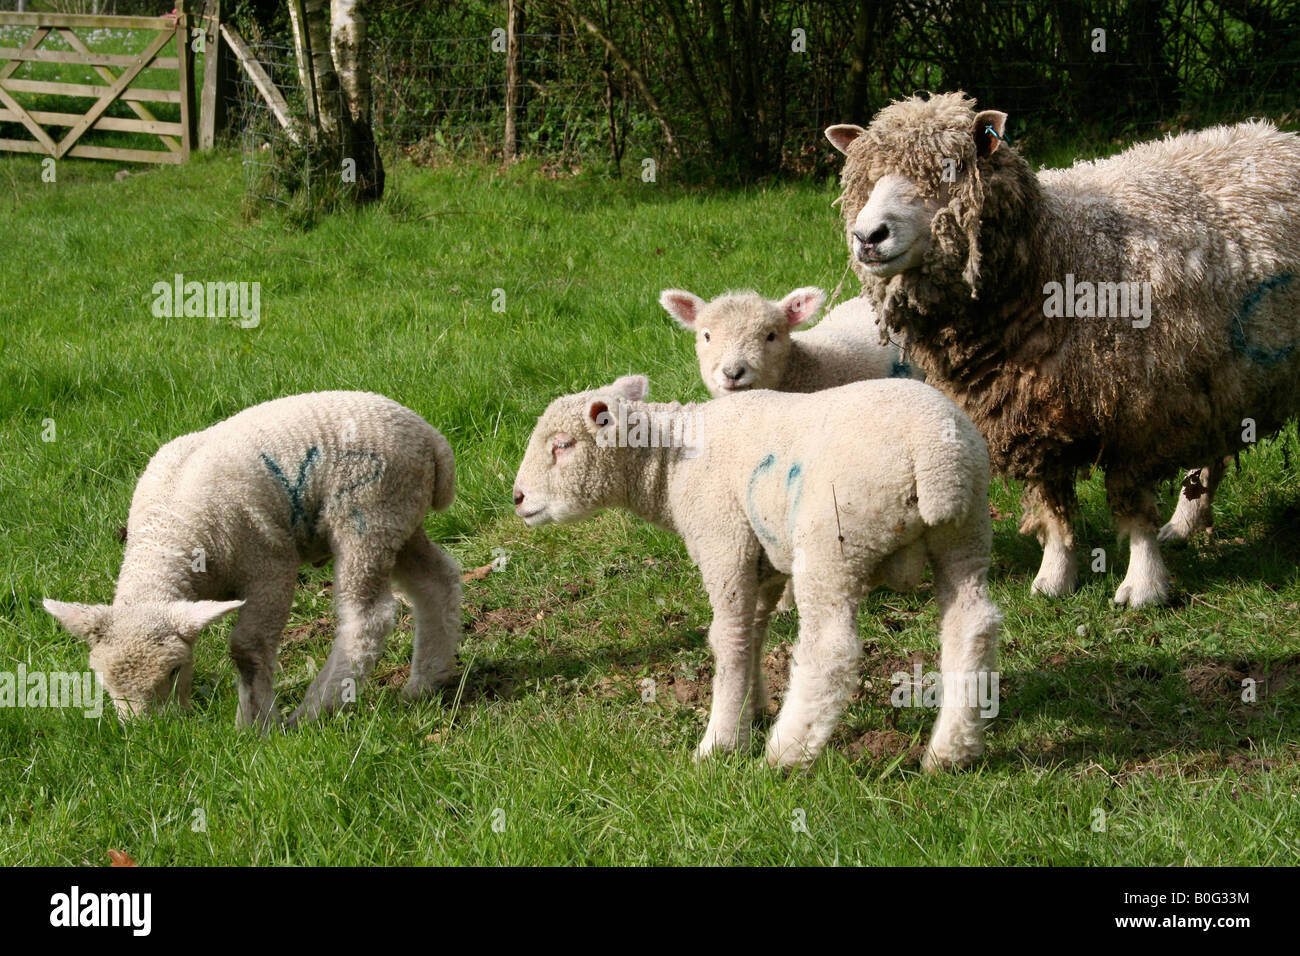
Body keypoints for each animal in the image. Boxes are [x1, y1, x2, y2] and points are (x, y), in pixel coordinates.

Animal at [43, 391, 462, 725]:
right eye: (101, 678)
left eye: (176, 670)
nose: (149, 731)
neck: (167, 534)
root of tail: (431, 438)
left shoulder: (269, 565)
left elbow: (247, 648)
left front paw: (255, 726)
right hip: (400, 518)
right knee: (436, 583)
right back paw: (427, 682)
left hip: (366, 514)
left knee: (368, 617)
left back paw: (314, 710)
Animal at [512, 374, 1001, 770]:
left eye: (562, 444)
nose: (517, 497)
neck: (669, 464)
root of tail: (936, 452)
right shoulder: (764, 559)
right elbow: (755, 633)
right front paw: (756, 706)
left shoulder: (723, 542)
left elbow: (729, 640)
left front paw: (721, 744)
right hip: (967, 532)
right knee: (971, 625)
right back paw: (951, 752)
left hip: (833, 543)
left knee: (830, 651)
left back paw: (786, 753)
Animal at [826, 92, 1300, 607]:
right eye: (867, 180)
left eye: (946, 172)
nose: (868, 237)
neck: (1053, 254)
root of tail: (1273, 132)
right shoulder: (1030, 419)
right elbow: (1053, 508)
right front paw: (1053, 578)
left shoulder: (1134, 413)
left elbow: (1132, 507)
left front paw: (1143, 585)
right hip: (1216, 372)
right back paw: (1185, 525)